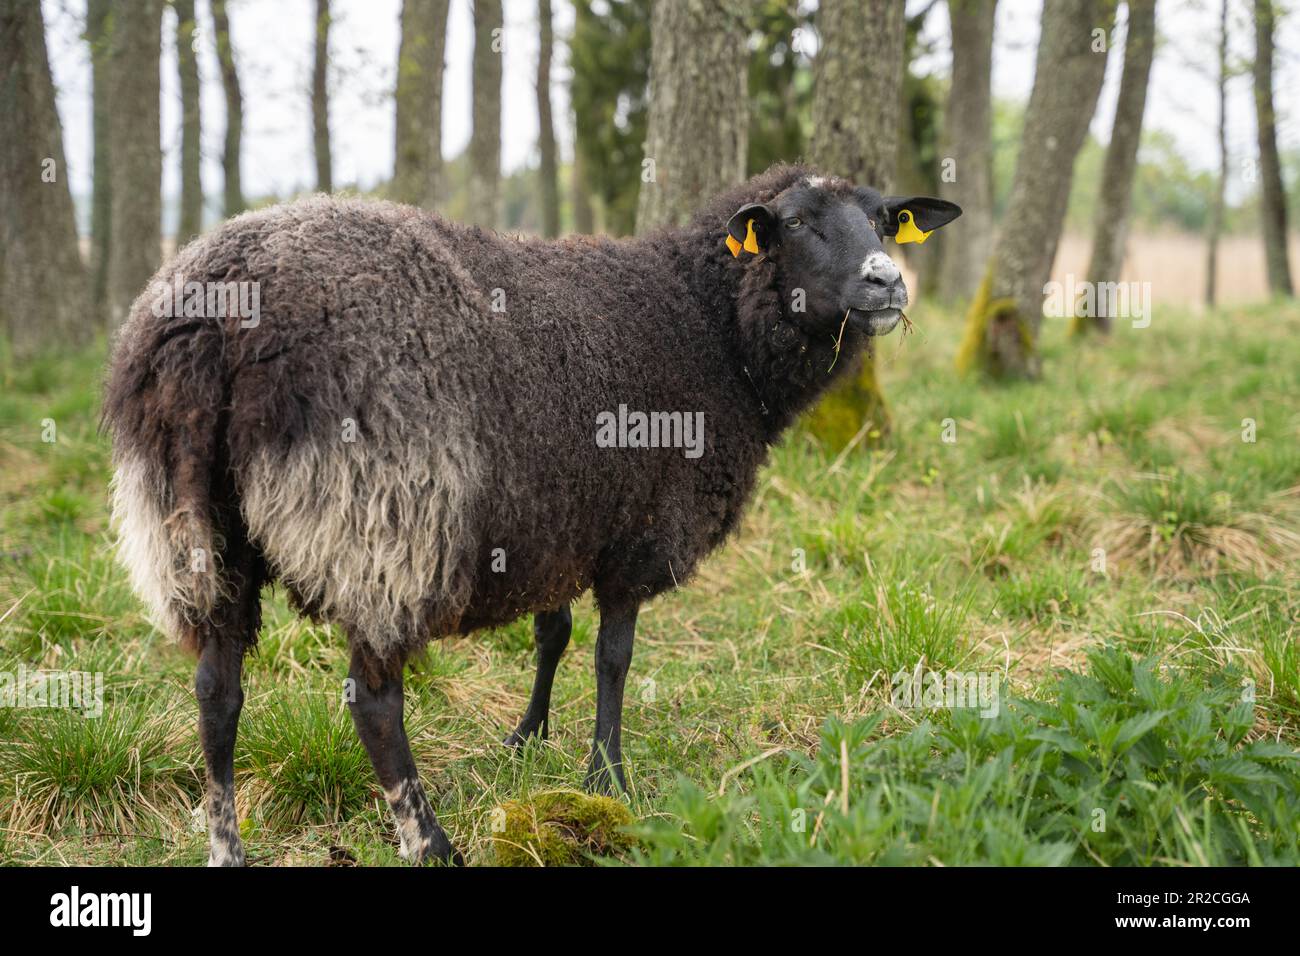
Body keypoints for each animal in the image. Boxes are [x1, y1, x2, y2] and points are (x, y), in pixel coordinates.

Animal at [103, 163, 960, 865]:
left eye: (886, 220)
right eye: (800, 223)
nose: (887, 284)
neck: (710, 330)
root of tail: (218, 312)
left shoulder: (557, 519)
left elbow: (555, 632)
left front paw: (528, 739)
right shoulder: (637, 530)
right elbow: (613, 656)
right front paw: (606, 776)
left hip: (194, 525)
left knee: (217, 689)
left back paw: (227, 848)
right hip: (385, 515)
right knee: (373, 700)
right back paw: (430, 843)